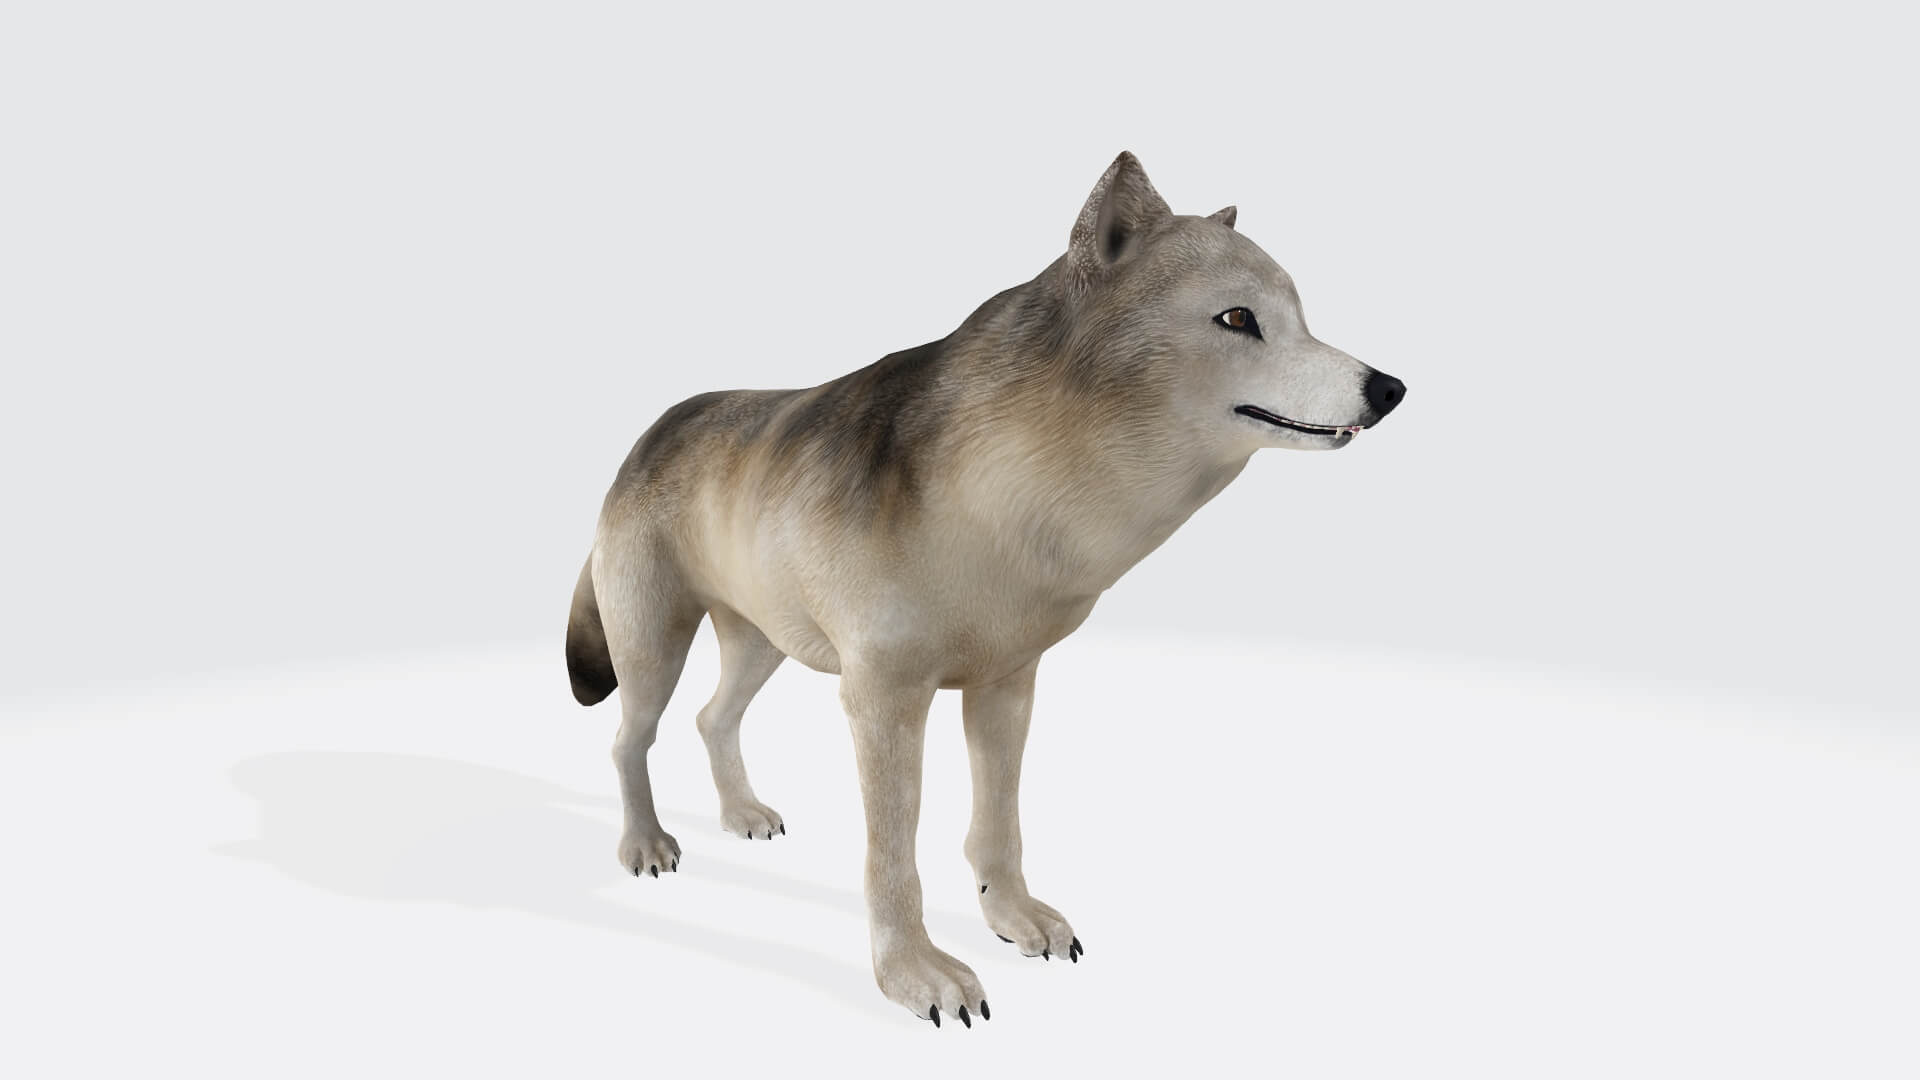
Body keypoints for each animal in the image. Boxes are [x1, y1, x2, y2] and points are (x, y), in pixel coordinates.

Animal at [565, 151, 1406, 1026]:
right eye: (1239, 318)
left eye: (1300, 318)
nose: (1389, 388)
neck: (1013, 492)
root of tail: (652, 429)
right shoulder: (883, 700)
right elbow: (892, 858)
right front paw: (915, 975)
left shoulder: (1007, 685)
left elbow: (998, 828)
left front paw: (1015, 919)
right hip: (653, 647)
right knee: (630, 738)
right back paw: (644, 845)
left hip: (765, 642)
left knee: (711, 717)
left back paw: (741, 816)